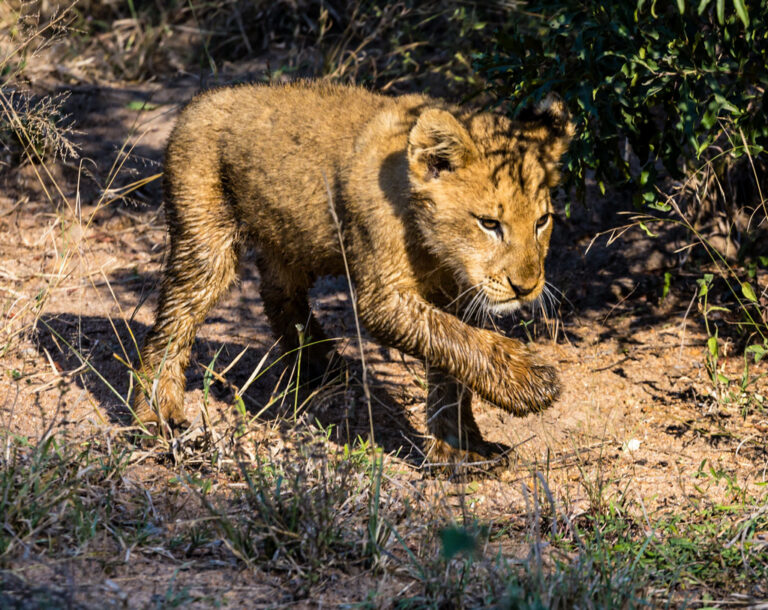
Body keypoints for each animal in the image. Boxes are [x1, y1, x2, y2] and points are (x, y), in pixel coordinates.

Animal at [133, 81, 573, 462]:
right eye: (489, 224)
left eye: (542, 221)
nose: (526, 287)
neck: (437, 248)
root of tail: (198, 101)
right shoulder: (384, 299)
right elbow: (458, 340)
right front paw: (531, 383)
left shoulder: (458, 293)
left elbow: (454, 363)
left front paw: (461, 449)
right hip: (206, 239)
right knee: (174, 321)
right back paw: (159, 414)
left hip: (290, 232)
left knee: (278, 293)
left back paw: (322, 367)